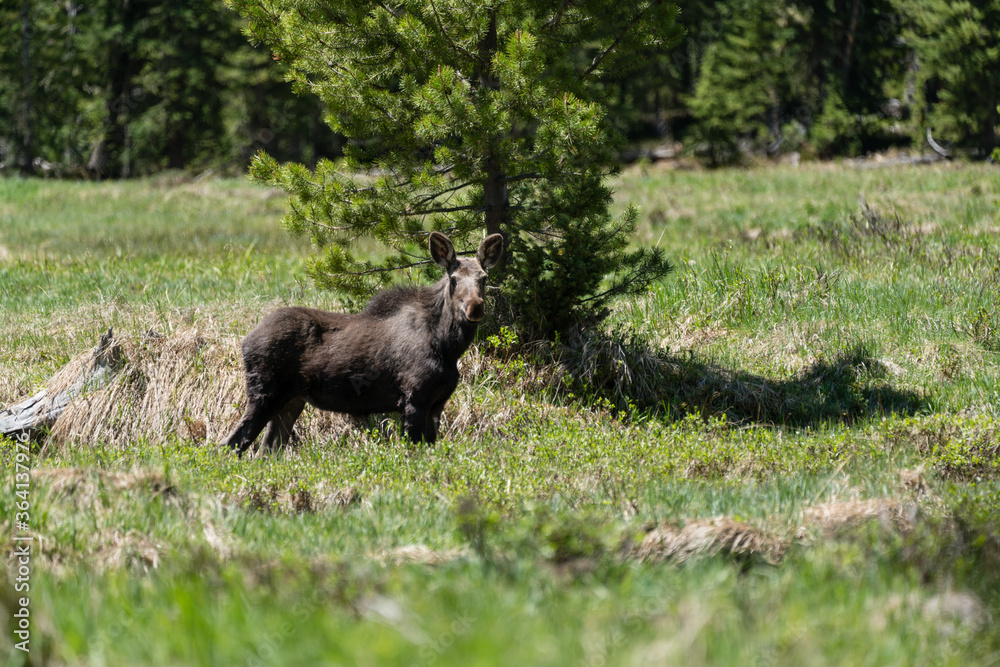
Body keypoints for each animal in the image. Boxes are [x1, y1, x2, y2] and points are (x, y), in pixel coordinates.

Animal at [223, 232, 504, 454]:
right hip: (264, 392)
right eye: (454, 279)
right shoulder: (413, 397)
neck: (448, 348)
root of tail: (245, 341)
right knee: (230, 444)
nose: (475, 307)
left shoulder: (438, 403)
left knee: (266, 450)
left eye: (484, 278)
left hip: (291, 400)